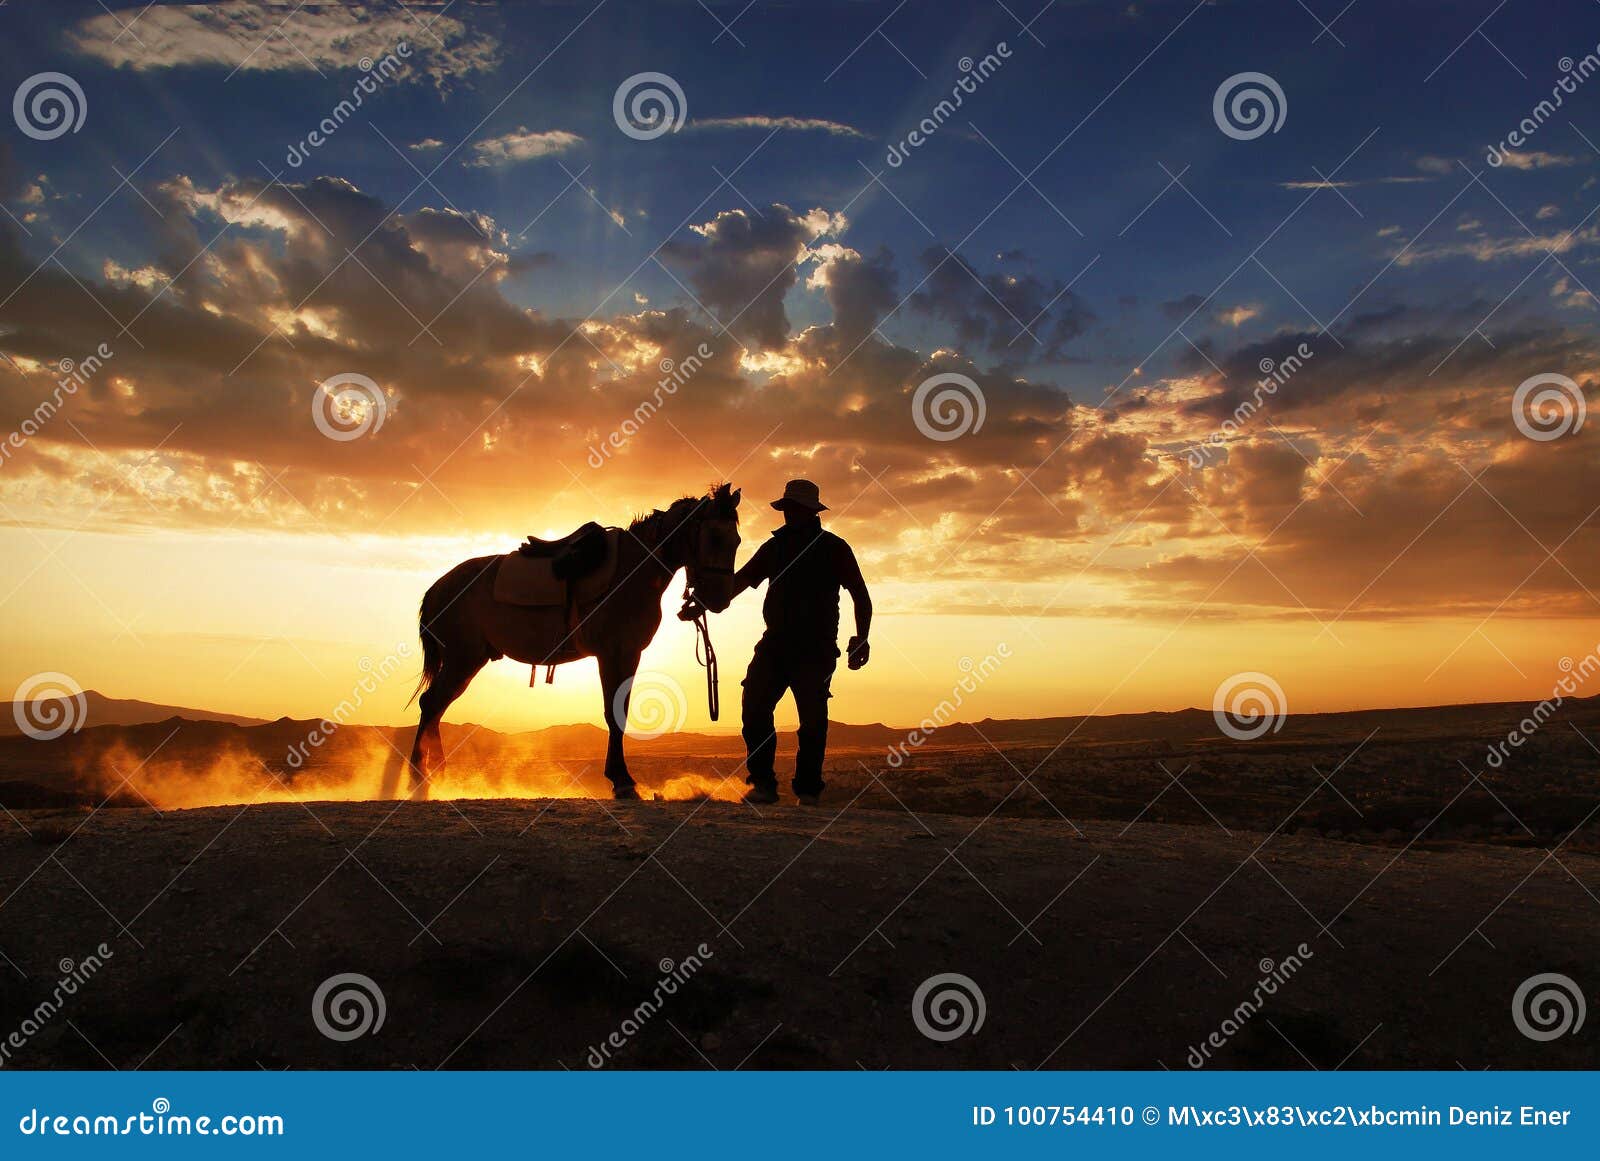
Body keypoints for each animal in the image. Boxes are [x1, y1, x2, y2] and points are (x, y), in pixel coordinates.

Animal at [408, 483, 742, 800]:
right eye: (714, 537)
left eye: (737, 540)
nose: (719, 599)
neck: (633, 571)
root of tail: (437, 588)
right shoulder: (614, 653)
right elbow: (614, 712)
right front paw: (622, 781)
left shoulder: (628, 655)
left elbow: (620, 711)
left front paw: (620, 778)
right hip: (461, 660)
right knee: (431, 704)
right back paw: (418, 777)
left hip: (466, 662)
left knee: (436, 707)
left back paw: (438, 775)